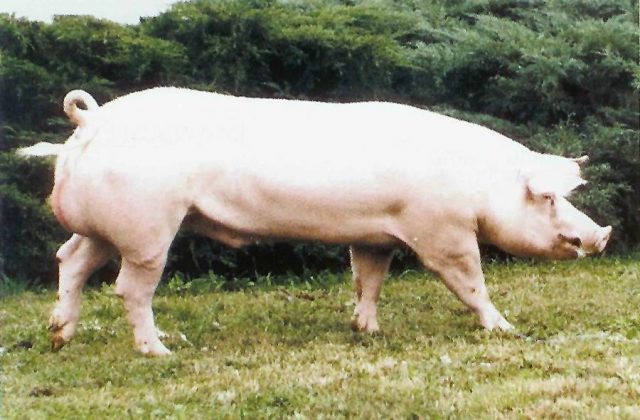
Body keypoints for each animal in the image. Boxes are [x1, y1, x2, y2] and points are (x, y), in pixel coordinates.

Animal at [18, 87, 612, 356]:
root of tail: (92, 121)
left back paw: (60, 338)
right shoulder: (440, 232)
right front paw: (505, 328)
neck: (476, 184)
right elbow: (469, 282)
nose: (601, 234)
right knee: (127, 287)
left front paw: (368, 330)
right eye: (548, 199)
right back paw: (161, 350)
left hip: (101, 226)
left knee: (70, 261)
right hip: (147, 228)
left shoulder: (376, 237)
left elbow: (367, 280)